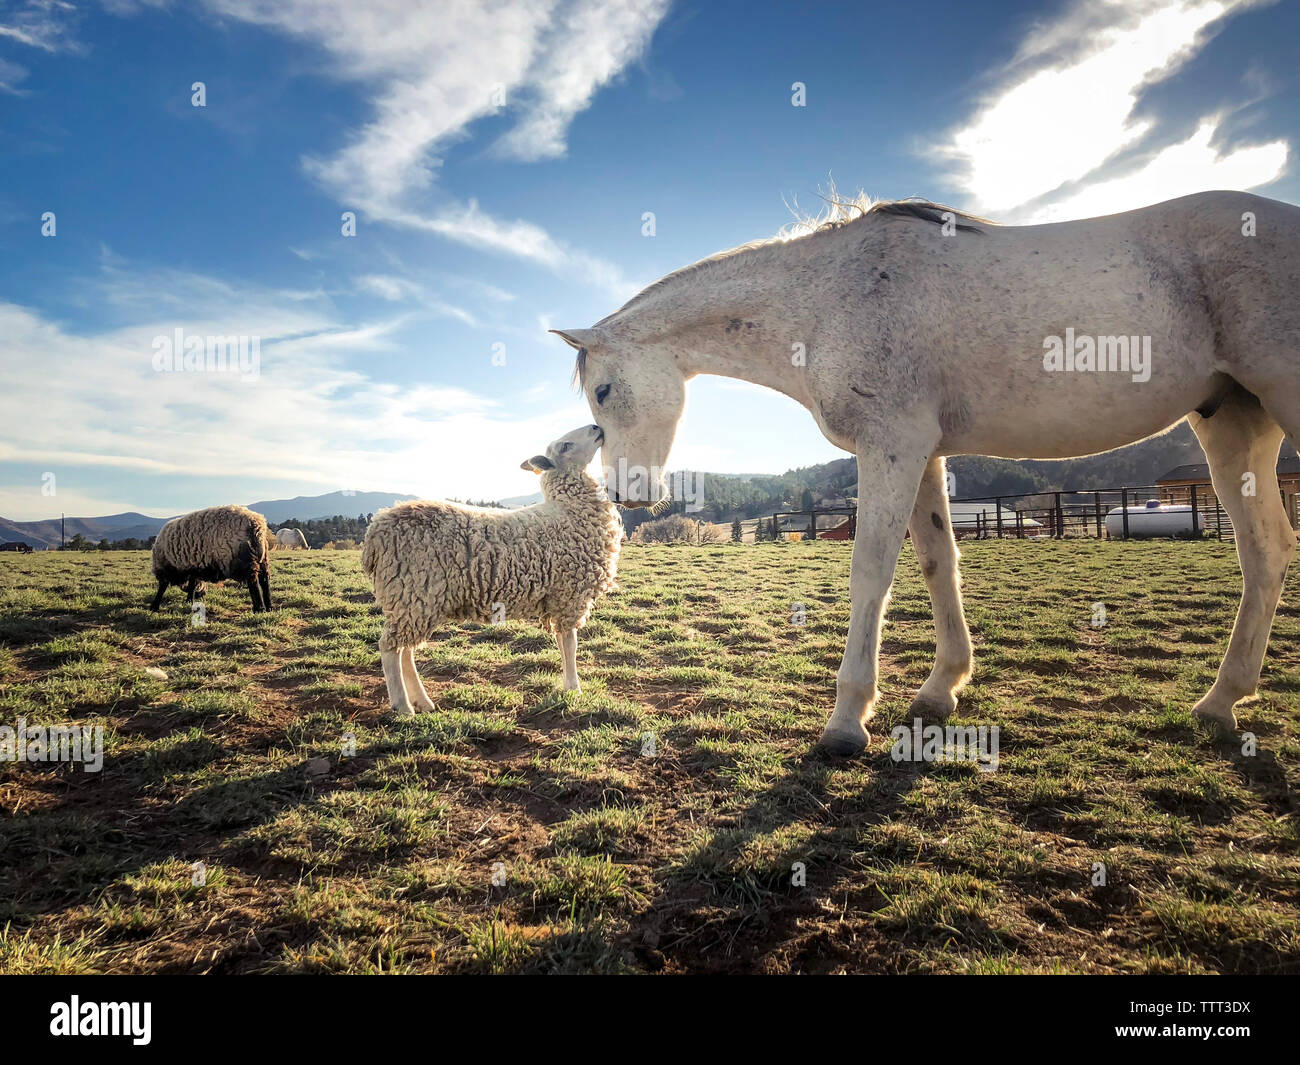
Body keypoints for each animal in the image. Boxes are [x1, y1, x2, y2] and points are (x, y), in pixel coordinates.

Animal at [361, 424, 622, 717]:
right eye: (566, 445)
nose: (596, 428)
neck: (568, 511)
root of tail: (376, 529)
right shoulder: (570, 595)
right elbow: (570, 644)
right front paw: (574, 688)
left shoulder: (557, 598)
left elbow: (561, 643)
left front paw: (567, 686)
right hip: (412, 592)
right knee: (390, 647)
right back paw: (403, 705)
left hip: (415, 600)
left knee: (406, 649)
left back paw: (422, 701)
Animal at [552, 190, 1300, 755]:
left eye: (604, 392)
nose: (625, 494)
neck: (830, 296)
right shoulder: (923, 452)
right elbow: (940, 562)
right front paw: (941, 689)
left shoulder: (891, 447)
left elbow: (872, 573)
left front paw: (847, 720)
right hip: (1232, 424)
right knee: (1266, 551)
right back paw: (1220, 702)